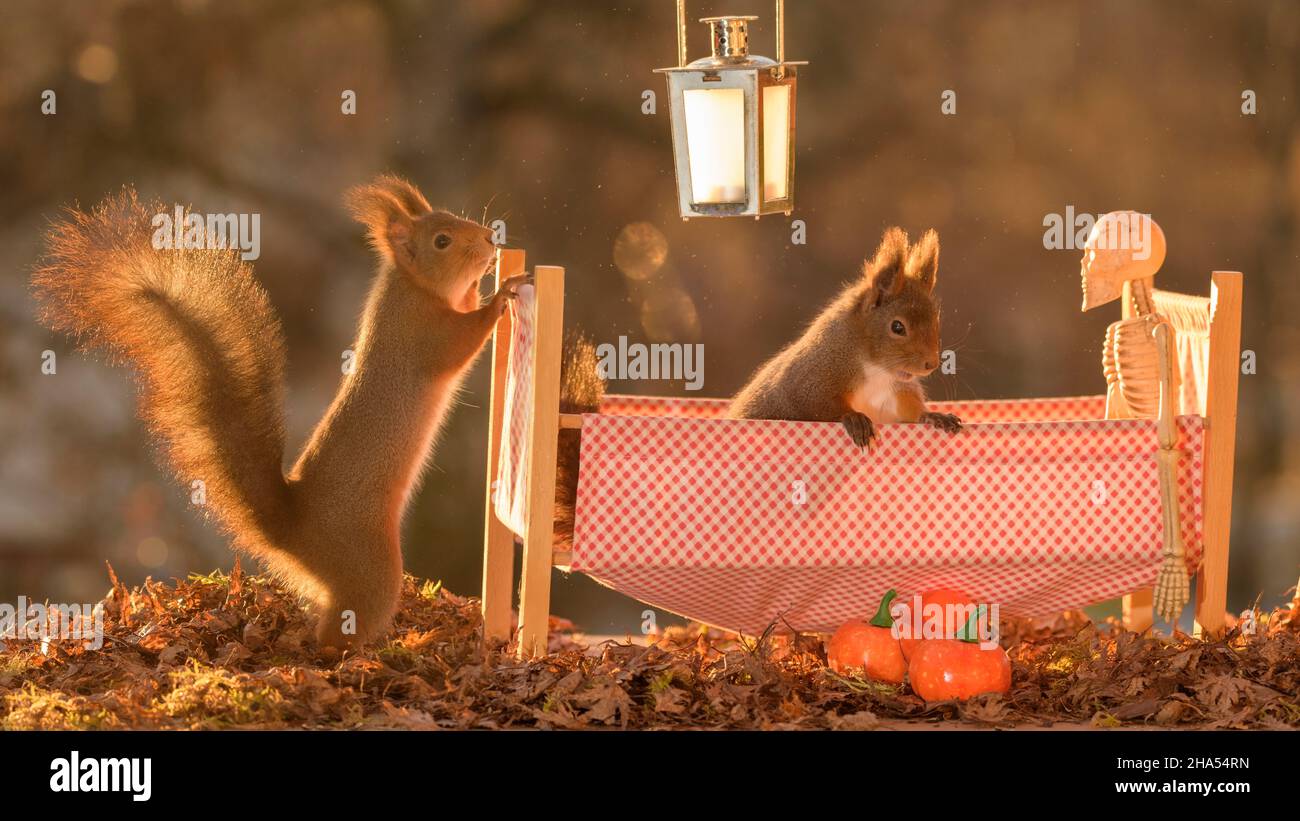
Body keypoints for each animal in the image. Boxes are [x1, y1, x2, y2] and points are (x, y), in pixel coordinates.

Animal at [31, 175, 529, 648]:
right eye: (441, 240)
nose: (490, 238)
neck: (413, 288)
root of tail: (293, 533)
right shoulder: (423, 336)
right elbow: (460, 342)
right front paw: (500, 296)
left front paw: (485, 283)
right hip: (372, 568)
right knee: (337, 632)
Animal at [729, 226, 962, 447]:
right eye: (897, 327)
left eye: (936, 320)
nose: (931, 364)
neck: (874, 367)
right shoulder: (812, 380)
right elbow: (818, 404)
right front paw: (854, 418)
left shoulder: (895, 390)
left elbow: (908, 408)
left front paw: (932, 415)